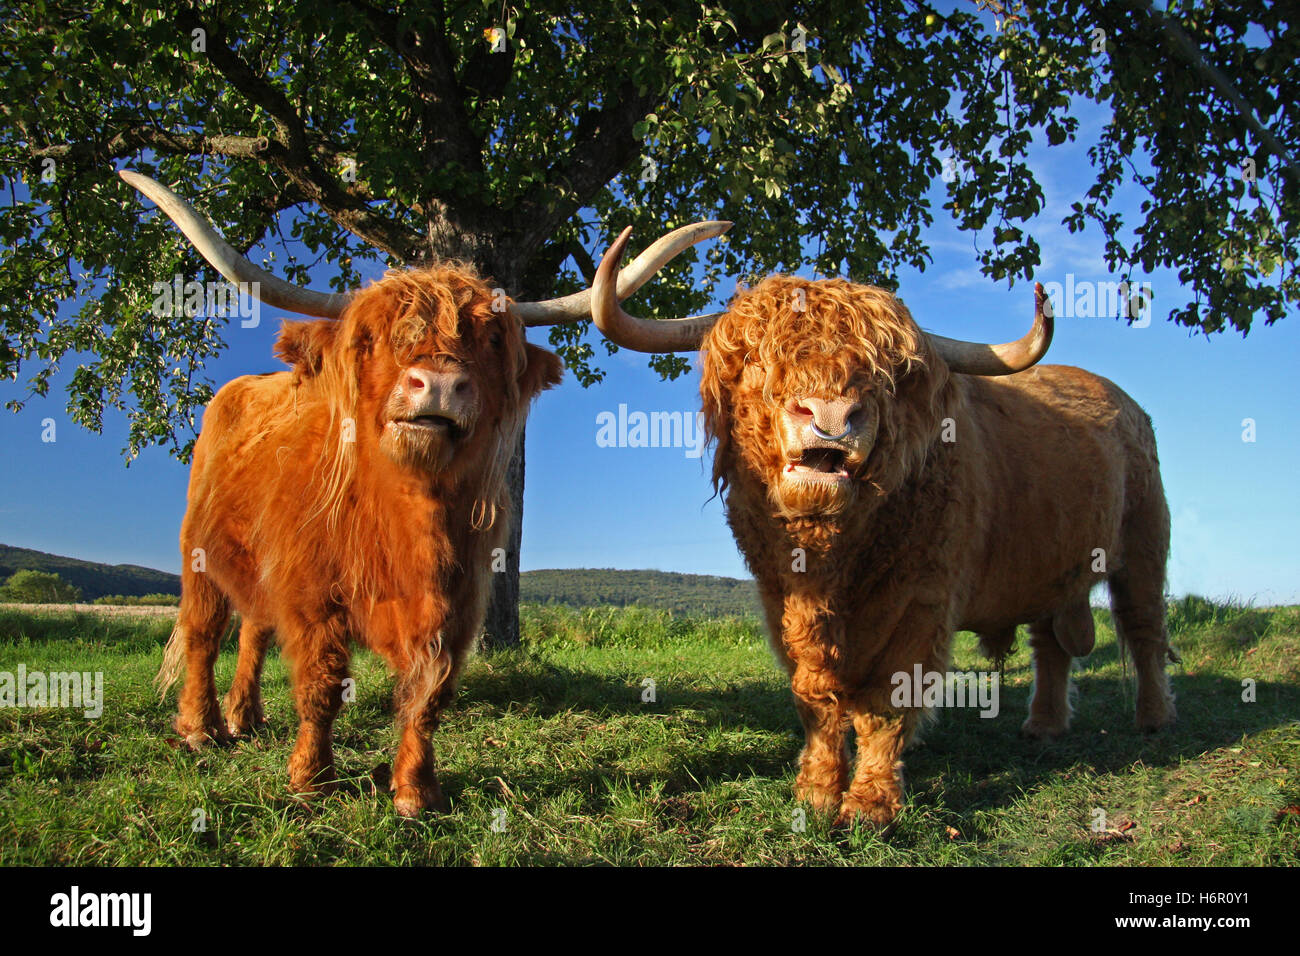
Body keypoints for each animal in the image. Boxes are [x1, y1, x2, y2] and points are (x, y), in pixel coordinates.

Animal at [121, 171, 725, 814]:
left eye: (491, 341)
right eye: (372, 338)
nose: (436, 383)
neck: (407, 521)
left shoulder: (459, 600)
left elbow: (429, 691)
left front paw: (415, 790)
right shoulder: (312, 593)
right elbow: (320, 683)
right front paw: (311, 778)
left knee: (253, 633)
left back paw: (245, 717)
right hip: (198, 553)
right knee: (203, 633)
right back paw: (201, 728)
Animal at [590, 226, 1177, 828]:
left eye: (887, 373)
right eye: (756, 358)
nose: (831, 416)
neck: (832, 561)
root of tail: (1124, 403)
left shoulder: (923, 600)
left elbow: (887, 702)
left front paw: (872, 804)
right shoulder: (781, 600)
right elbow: (815, 695)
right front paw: (817, 793)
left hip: (1143, 543)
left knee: (1144, 627)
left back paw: (1154, 719)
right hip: (1048, 567)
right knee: (1051, 646)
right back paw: (1043, 726)